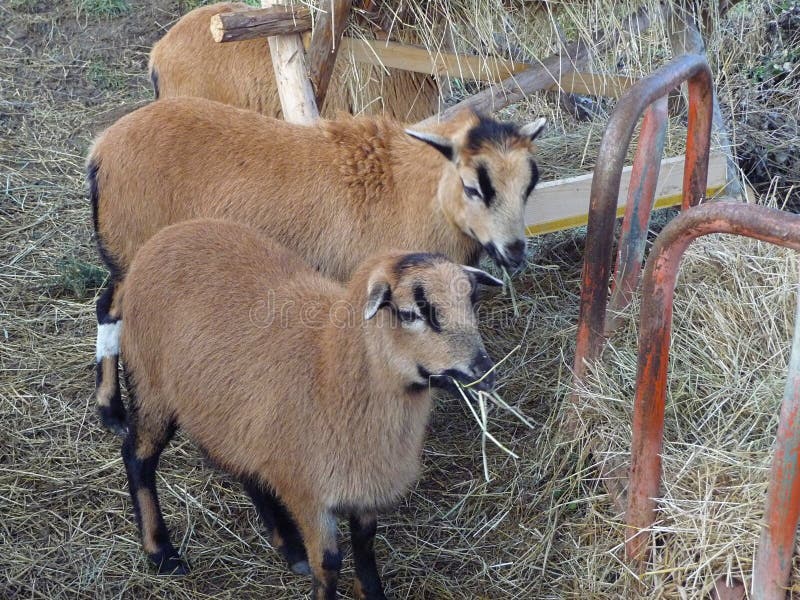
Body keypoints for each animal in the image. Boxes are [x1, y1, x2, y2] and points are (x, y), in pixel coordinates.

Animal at [88, 96, 545, 434]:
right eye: (473, 187)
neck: (409, 192)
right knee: (110, 308)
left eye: (529, 186)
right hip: (132, 249)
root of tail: (101, 148)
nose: (515, 252)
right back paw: (112, 411)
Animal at [120, 218, 502, 598]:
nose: (484, 371)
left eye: (471, 302)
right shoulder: (308, 492)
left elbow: (365, 543)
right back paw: (162, 553)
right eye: (410, 313)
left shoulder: (361, 481)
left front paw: (370, 590)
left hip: (227, 412)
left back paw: (288, 545)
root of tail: (170, 233)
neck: (328, 365)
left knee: (242, 467)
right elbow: (328, 563)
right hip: (151, 384)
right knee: (137, 456)